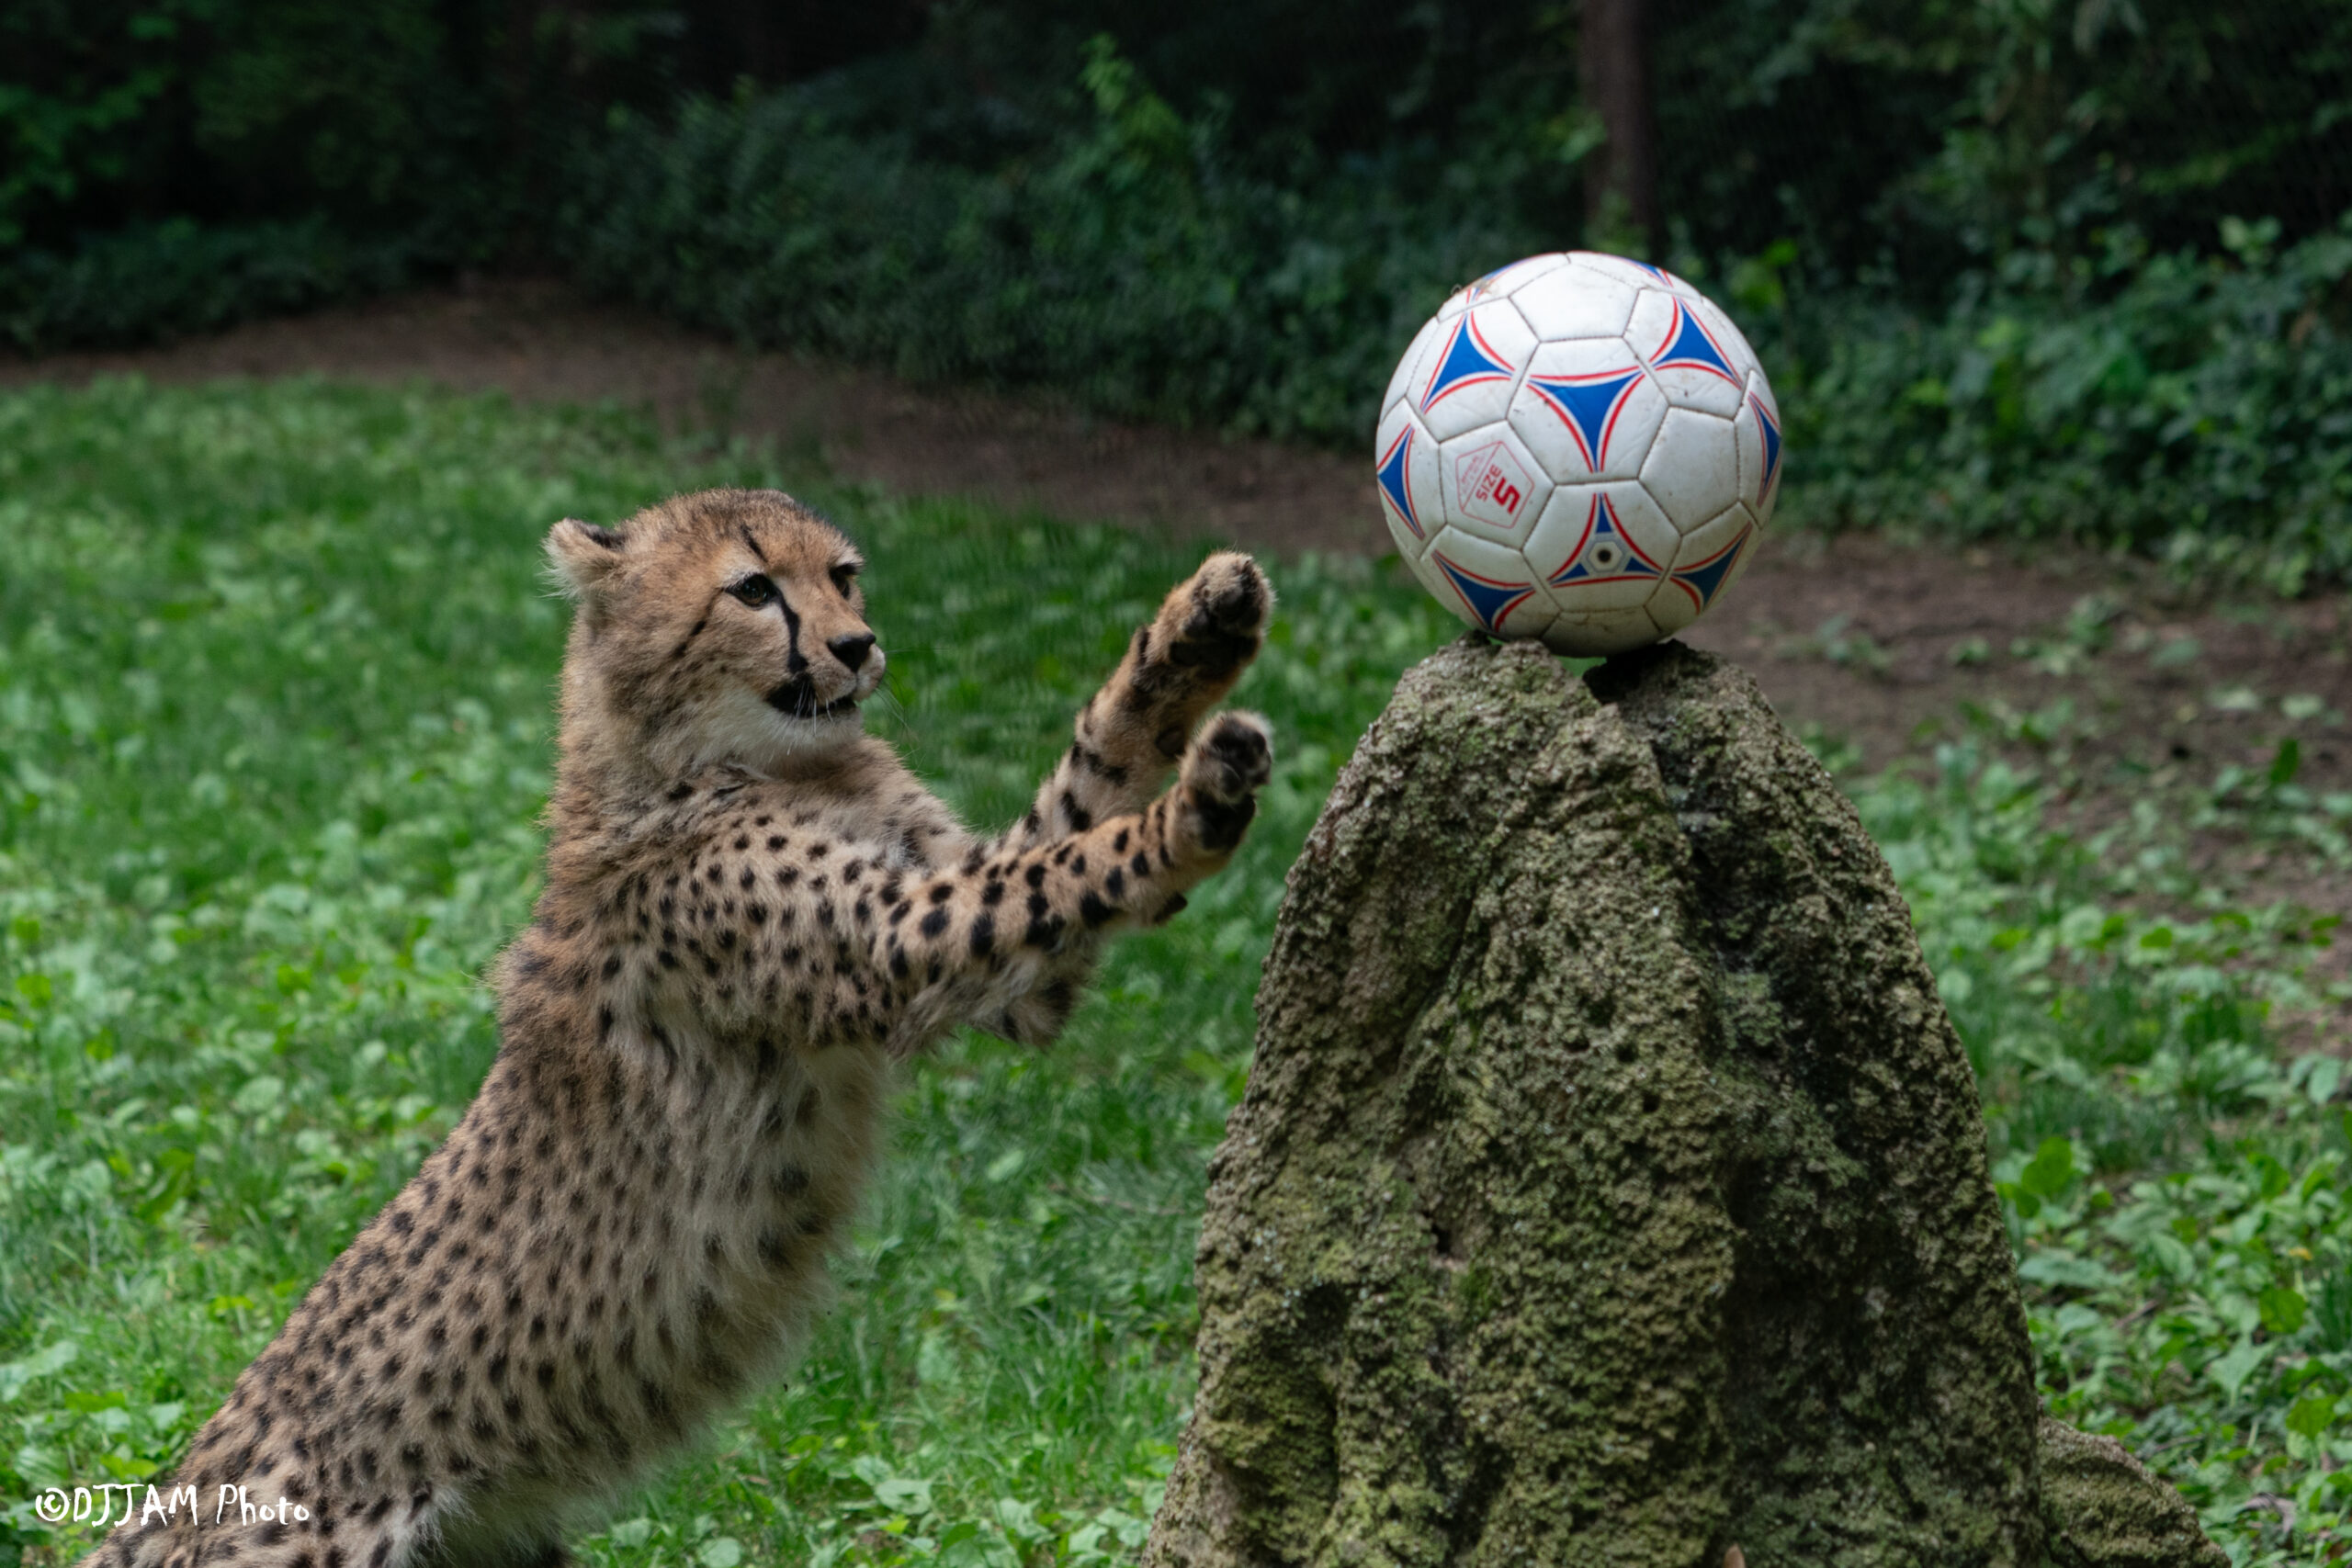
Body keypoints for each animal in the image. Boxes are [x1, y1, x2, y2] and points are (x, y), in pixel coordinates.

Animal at [85, 487, 1275, 1568]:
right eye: (753, 590)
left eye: (843, 575)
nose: (857, 646)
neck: (725, 760)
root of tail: (169, 1497)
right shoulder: (903, 943)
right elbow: (1072, 862)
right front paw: (1196, 803)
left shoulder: (995, 968)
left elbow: (1085, 785)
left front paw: (1198, 627)